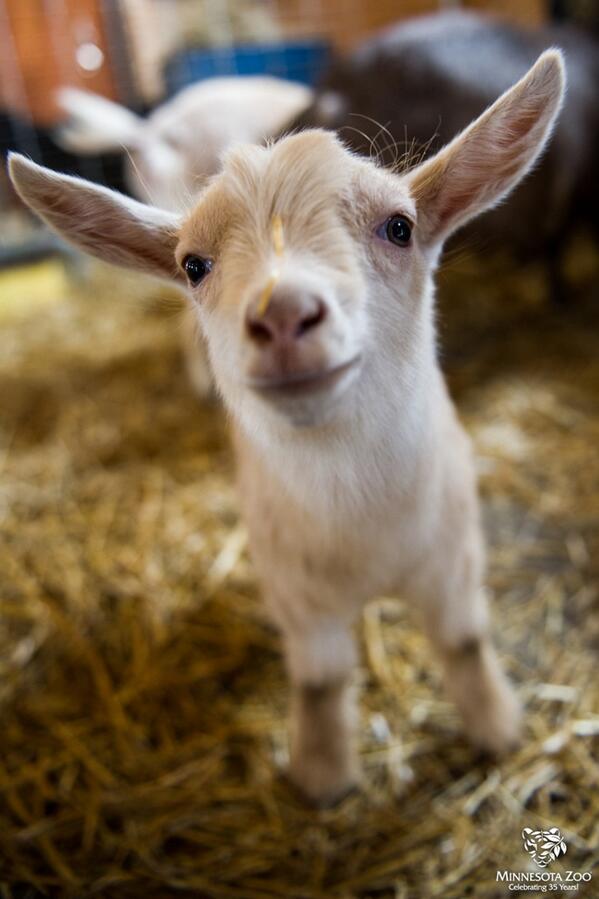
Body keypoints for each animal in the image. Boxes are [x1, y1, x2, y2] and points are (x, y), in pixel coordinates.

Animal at [9, 50, 565, 806]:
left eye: (400, 226)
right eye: (193, 265)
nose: (282, 313)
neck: (364, 531)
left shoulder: (455, 559)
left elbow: (463, 642)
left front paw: (497, 729)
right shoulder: (295, 595)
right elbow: (321, 681)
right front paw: (322, 778)